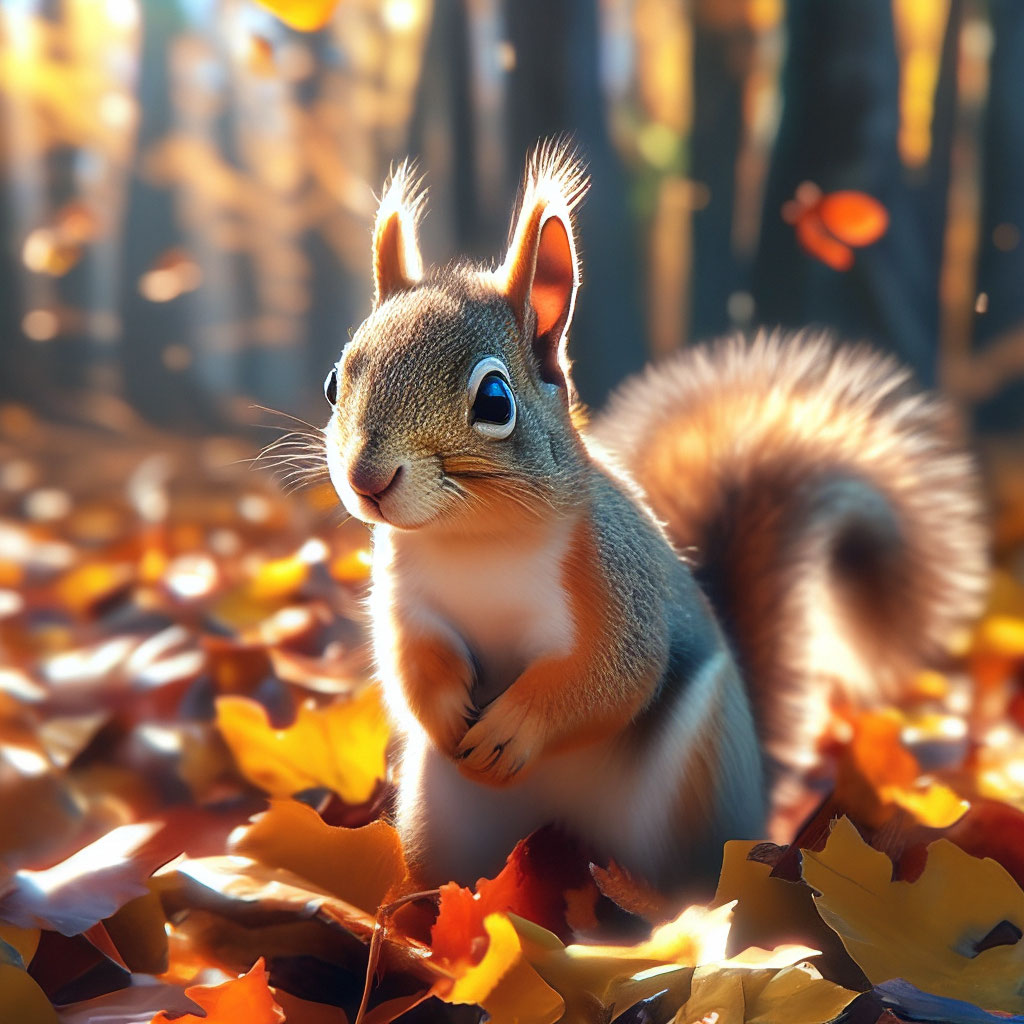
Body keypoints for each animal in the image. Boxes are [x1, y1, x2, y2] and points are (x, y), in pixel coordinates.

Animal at [322, 141, 988, 895]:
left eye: (495, 400)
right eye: (335, 381)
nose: (367, 479)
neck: (477, 539)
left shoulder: (617, 581)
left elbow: (616, 673)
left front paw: (511, 727)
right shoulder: (408, 595)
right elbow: (409, 654)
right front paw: (443, 707)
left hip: (686, 791)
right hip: (449, 815)